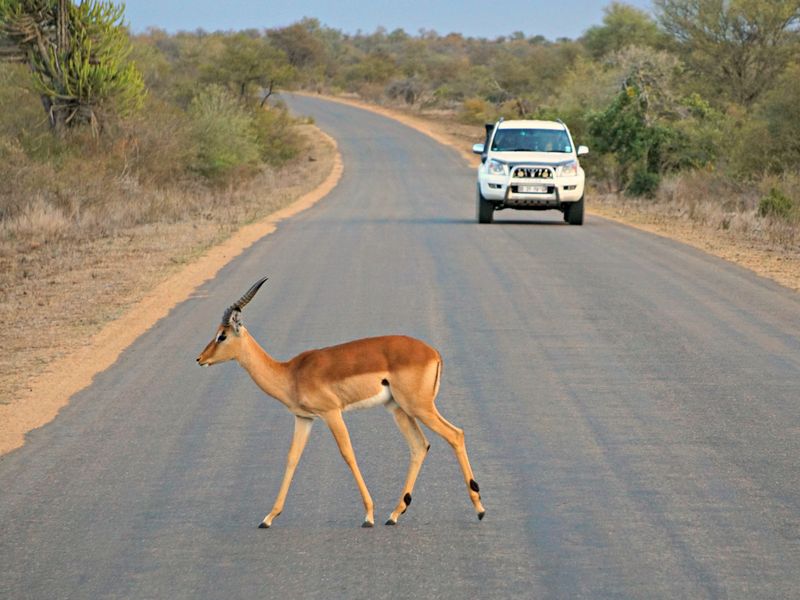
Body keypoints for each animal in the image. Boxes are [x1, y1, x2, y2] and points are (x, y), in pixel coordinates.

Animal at [196, 277, 485, 528]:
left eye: (222, 335)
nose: (200, 359)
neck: (290, 373)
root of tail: (433, 352)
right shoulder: (304, 418)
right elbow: (292, 458)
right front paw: (268, 518)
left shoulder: (332, 412)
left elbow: (348, 454)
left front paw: (368, 515)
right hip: (399, 409)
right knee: (419, 445)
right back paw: (394, 514)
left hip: (419, 407)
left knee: (455, 434)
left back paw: (479, 509)